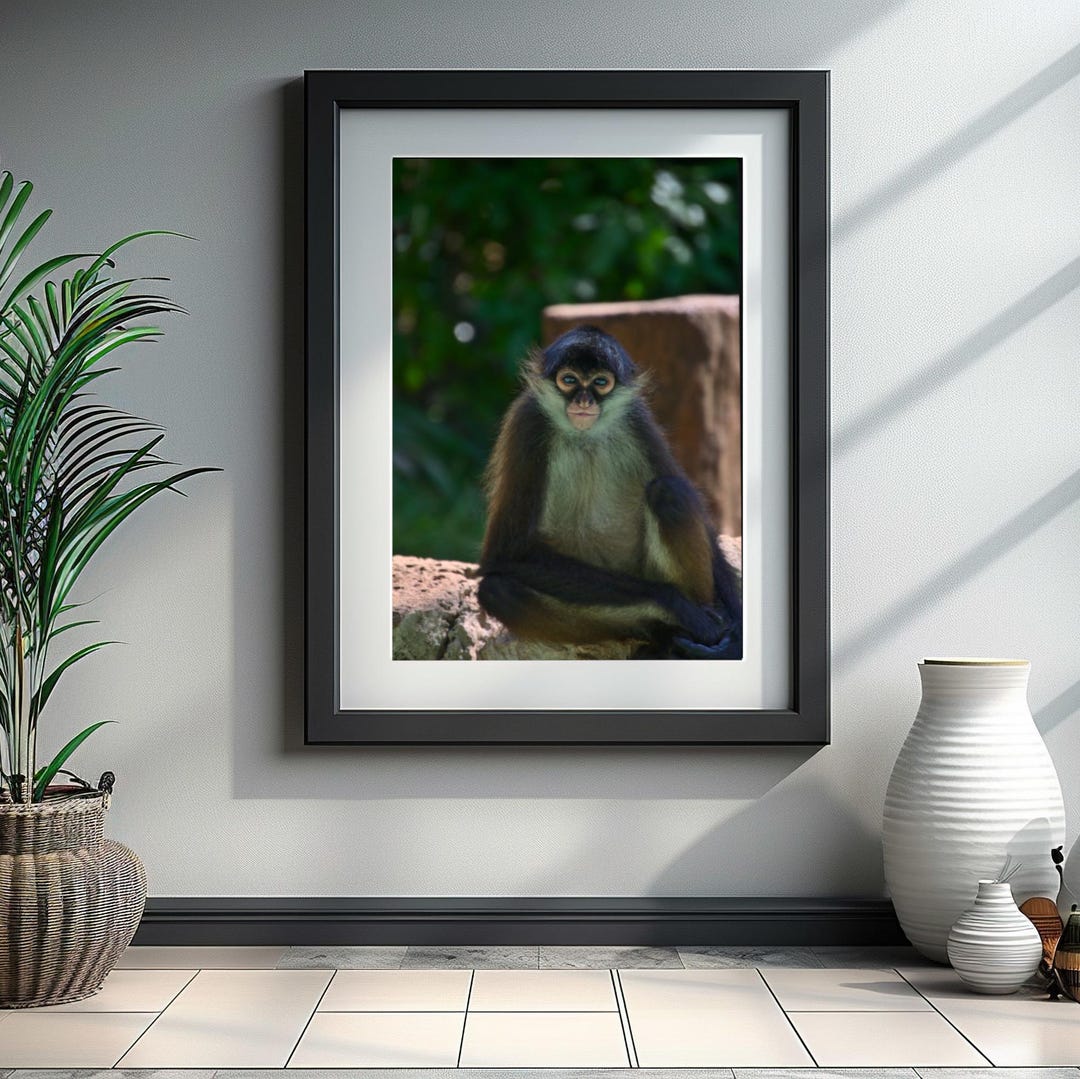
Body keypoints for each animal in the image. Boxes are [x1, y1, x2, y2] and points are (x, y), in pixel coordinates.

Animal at [476, 325, 741, 659]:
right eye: (569, 380)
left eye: (600, 383)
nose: (584, 401)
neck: (583, 436)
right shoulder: (529, 419)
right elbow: (506, 553)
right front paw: (676, 604)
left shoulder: (637, 417)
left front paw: (737, 635)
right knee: (497, 591)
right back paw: (664, 634)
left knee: (669, 493)